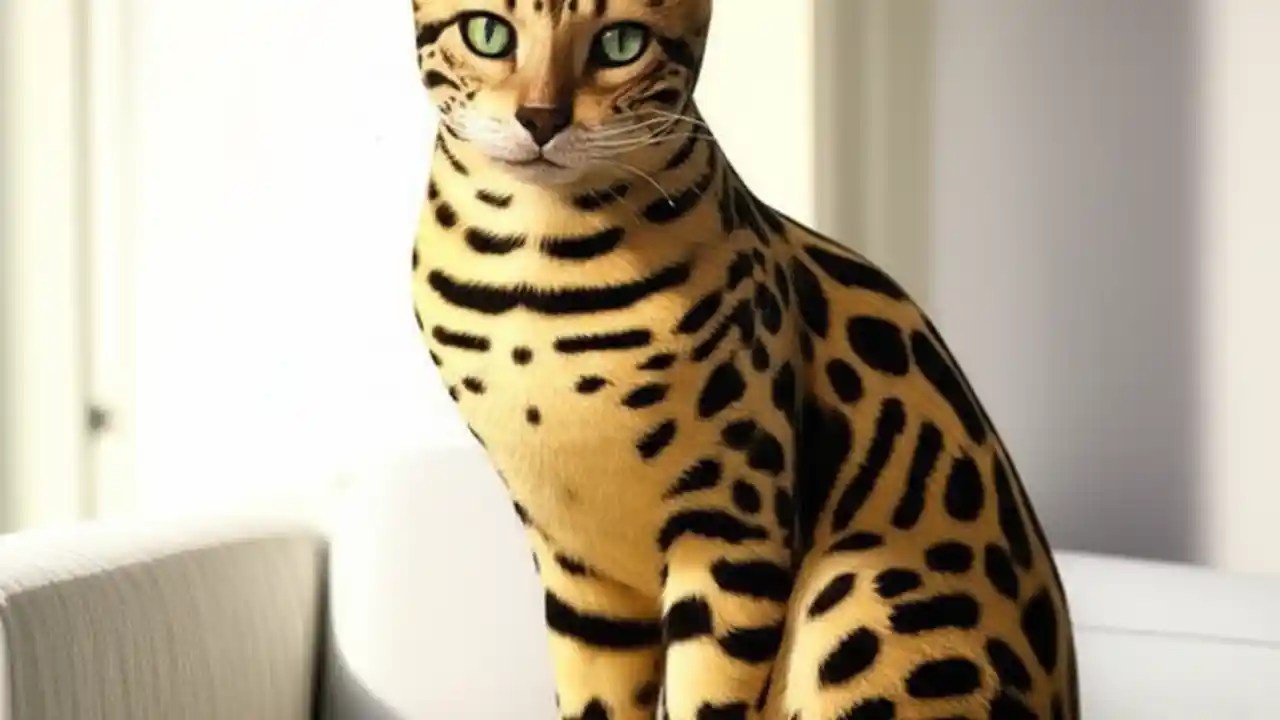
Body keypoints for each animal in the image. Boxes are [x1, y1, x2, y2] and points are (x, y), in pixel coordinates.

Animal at [408, 1, 1079, 718]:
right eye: (488, 33)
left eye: (621, 44)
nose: (540, 119)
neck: (531, 270)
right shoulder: (580, 571)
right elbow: (596, 698)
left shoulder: (731, 529)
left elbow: (709, 698)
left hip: (858, 586)